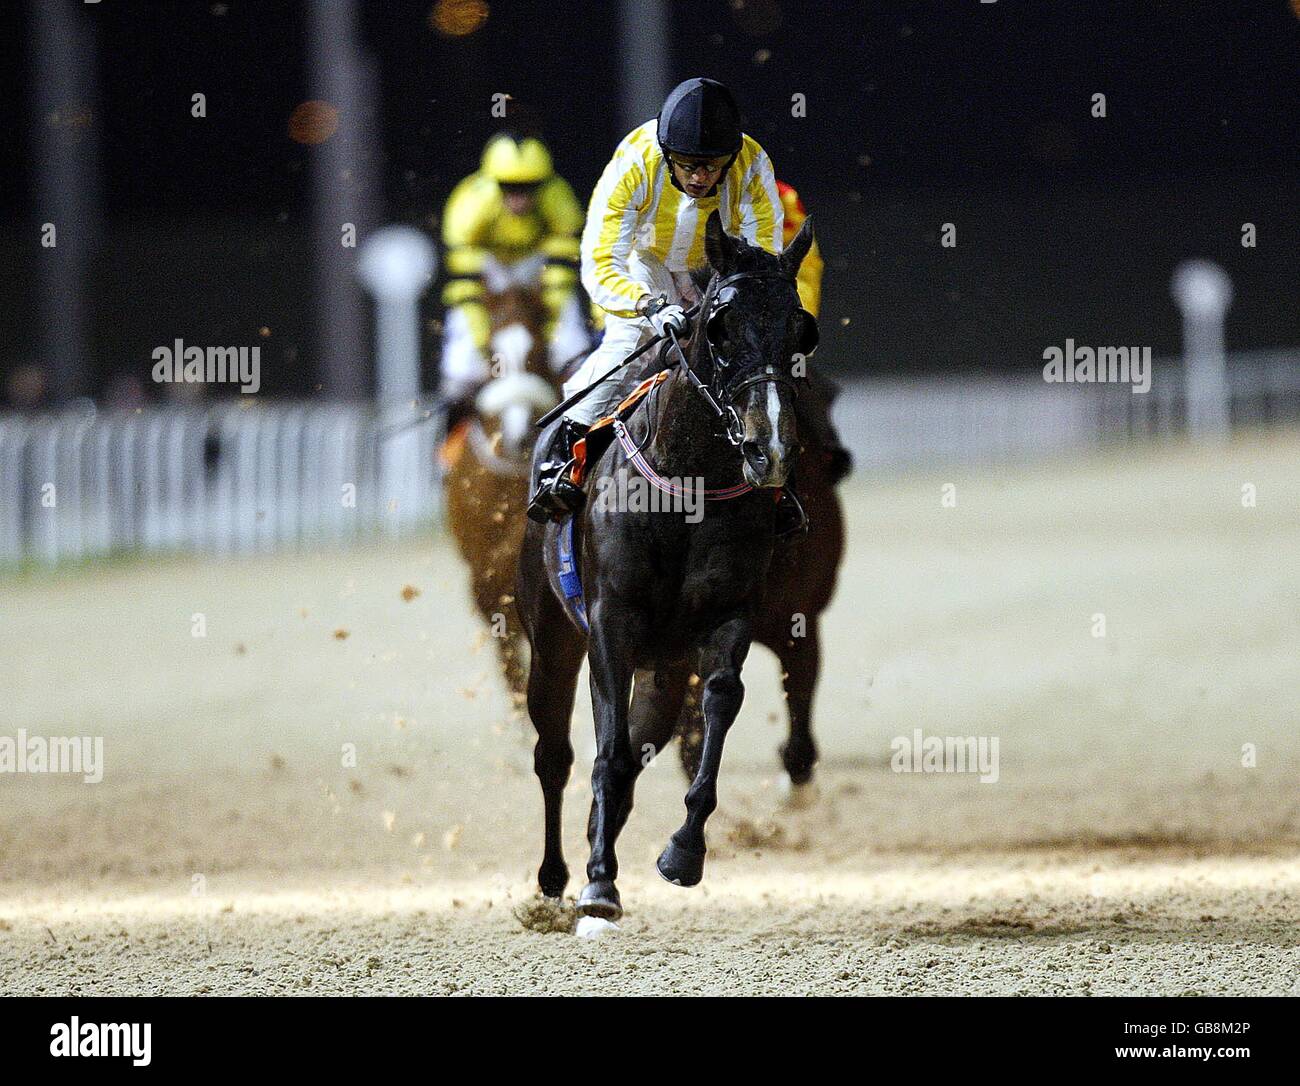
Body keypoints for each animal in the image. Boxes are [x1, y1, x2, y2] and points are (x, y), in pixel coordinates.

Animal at [516, 211, 821, 920]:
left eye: (802, 329)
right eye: (720, 325)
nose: (770, 448)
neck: (689, 484)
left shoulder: (727, 616)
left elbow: (720, 700)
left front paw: (682, 853)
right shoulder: (610, 623)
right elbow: (603, 750)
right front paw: (598, 886)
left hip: (665, 665)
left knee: (637, 752)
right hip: (550, 635)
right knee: (555, 755)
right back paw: (555, 879)